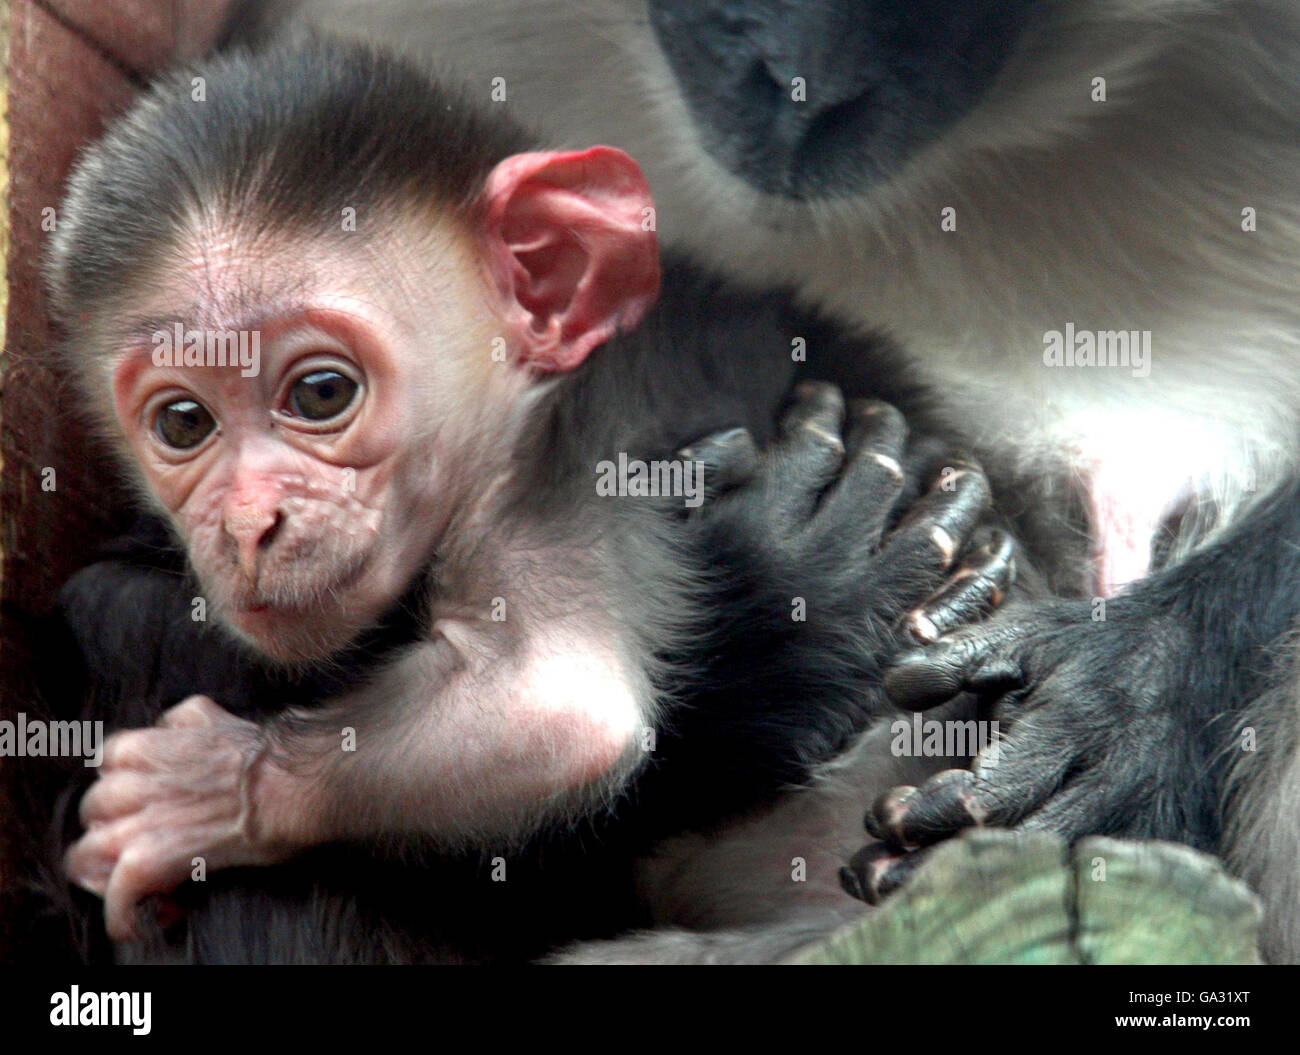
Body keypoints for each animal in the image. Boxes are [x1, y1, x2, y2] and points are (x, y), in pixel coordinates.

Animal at [31, 38, 1074, 964]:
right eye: (183, 422)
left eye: (321, 393)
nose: (248, 522)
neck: (534, 391)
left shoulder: (565, 462)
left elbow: (550, 701)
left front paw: (207, 792)